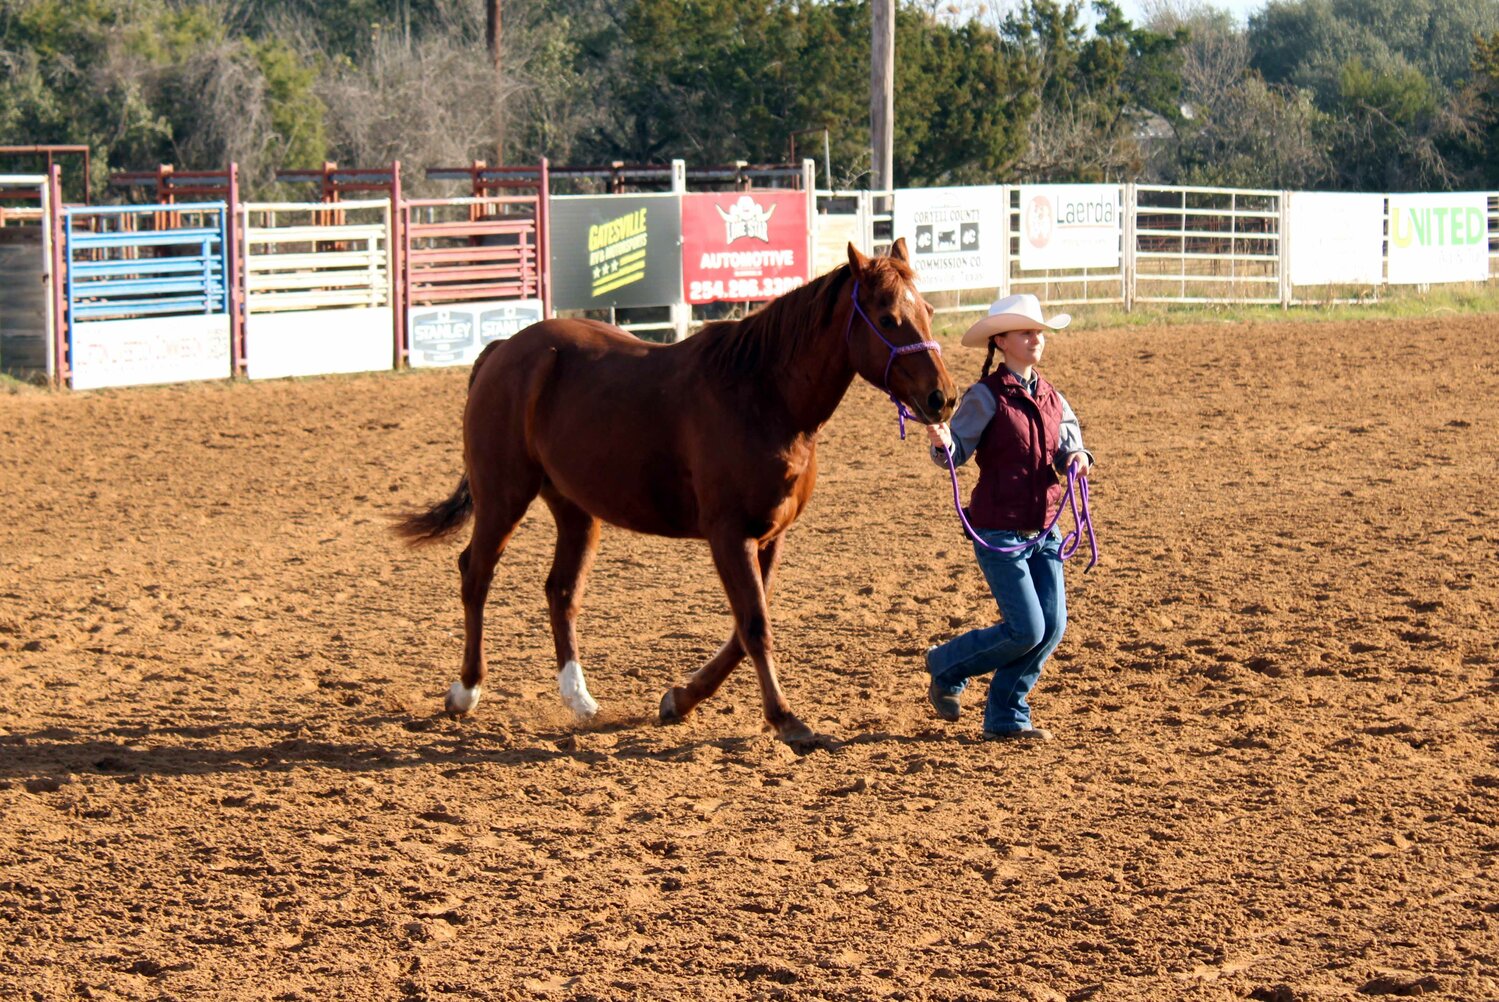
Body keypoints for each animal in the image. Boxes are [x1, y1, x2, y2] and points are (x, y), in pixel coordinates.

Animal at [394, 239, 955, 743]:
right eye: (887, 318)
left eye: (927, 311)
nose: (943, 398)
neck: (763, 394)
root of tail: (503, 350)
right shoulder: (729, 535)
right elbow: (755, 626)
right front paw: (786, 720)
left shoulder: (769, 536)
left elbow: (744, 629)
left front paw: (680, 699)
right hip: (503, 496)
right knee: (476, 574)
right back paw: (466, 691)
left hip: (576, 509)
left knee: (561, 591)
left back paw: (578, 697)